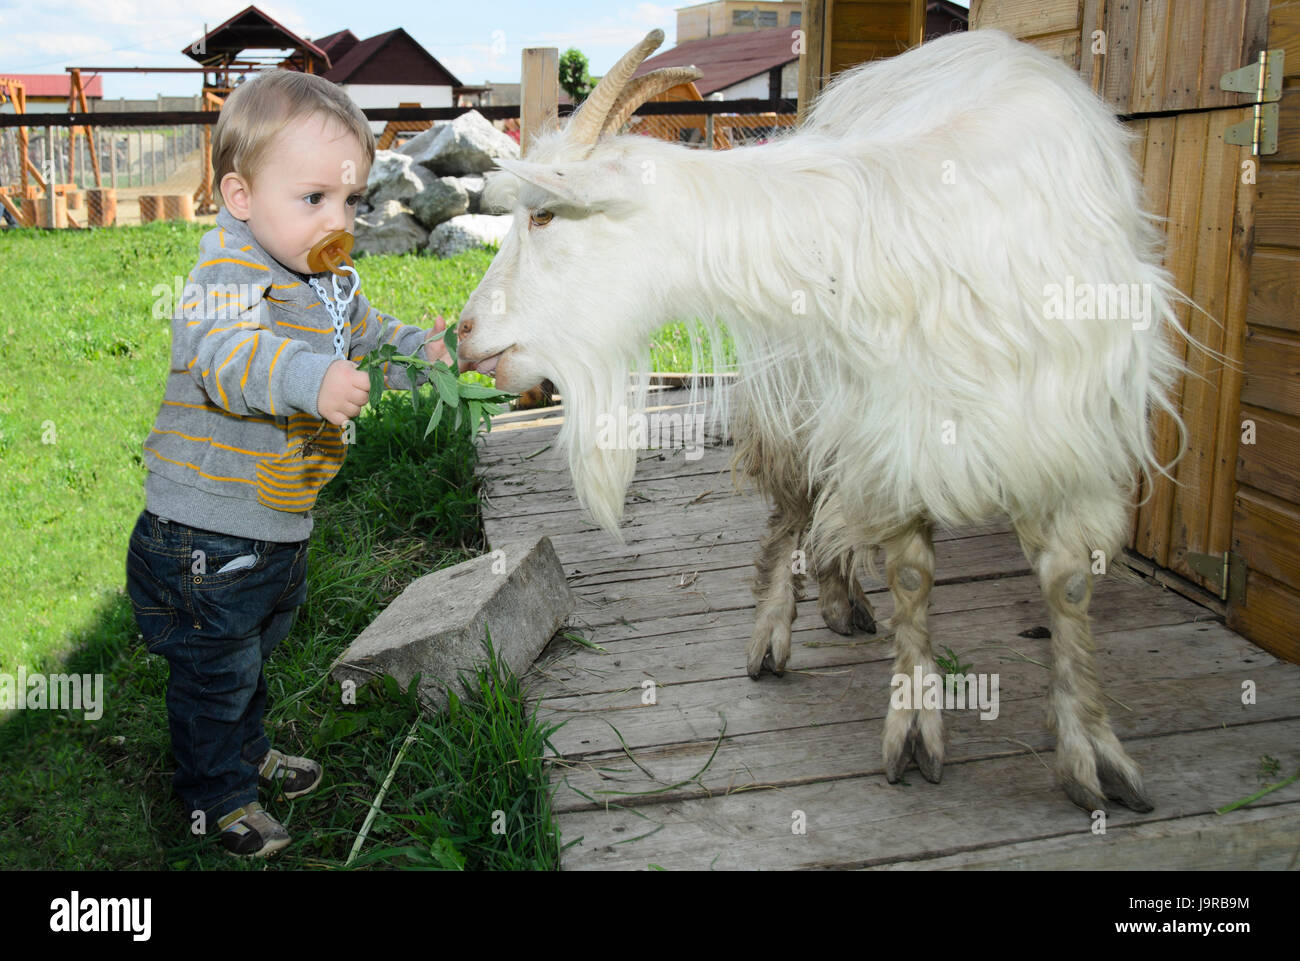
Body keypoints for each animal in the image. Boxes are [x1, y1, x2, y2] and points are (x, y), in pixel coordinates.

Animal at [456, 27, 1190, 814]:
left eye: (544, 213)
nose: (462, 334)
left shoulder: (1068, 437)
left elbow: (1068, 586)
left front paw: (1094, 754)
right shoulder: (890, 423)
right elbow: (911, 574)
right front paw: (914, 727)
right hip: (810, 397)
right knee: (796, 507)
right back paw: (783, 628)